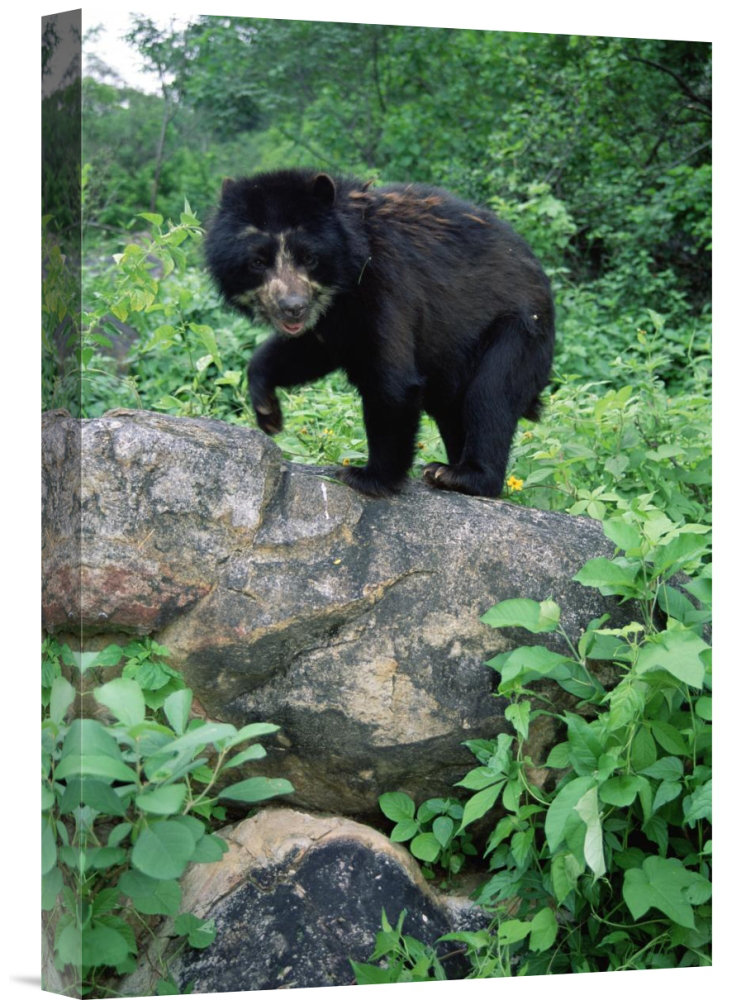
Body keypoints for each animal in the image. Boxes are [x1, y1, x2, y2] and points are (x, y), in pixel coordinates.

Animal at [205, 168, 555, 499]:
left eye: (309, 258)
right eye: (258, 262)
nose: (293, 308)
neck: (347, 275)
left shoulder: (386, 285)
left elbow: (392, 384)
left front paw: (368, 476)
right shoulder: (335, 319)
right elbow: (308, 352)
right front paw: (268, 412)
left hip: (518, 332)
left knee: (490, 394)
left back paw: (461, 475)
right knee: (452, 409)